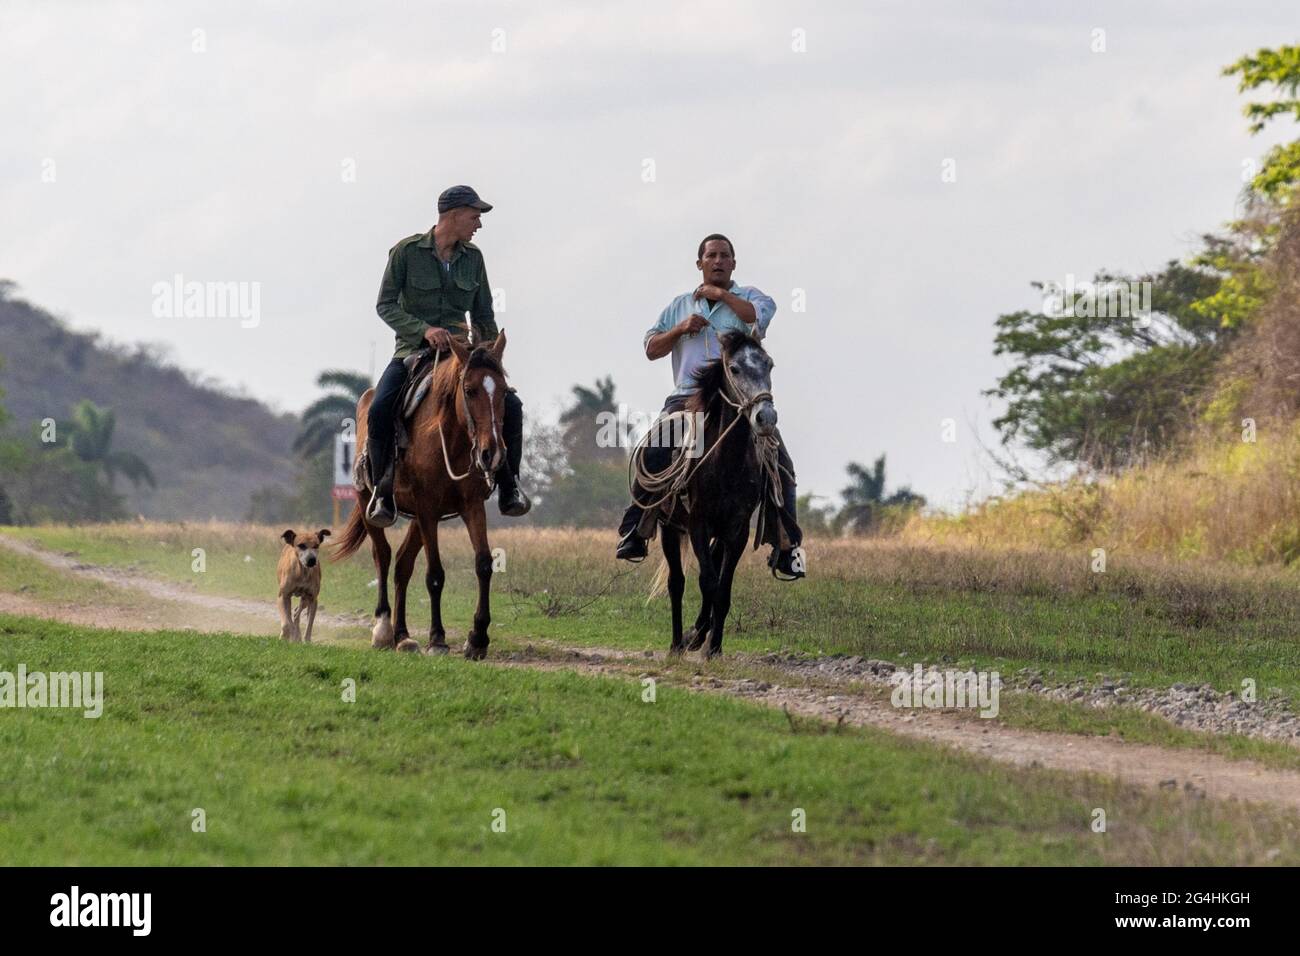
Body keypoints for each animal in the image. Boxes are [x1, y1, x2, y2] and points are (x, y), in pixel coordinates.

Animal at [332, 333, 509, 659]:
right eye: (470, 390)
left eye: (504, 391)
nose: (492, 453)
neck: (448, 438)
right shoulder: (427, 508)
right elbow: (435, 574)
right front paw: (438, 638)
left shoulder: (471, 506)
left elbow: (483, 563)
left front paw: (478, 638)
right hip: (369, 503)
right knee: (383, 556)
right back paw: (383, 629)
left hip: (418, 517)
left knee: (402, 565)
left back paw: (402, 635)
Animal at [648, 330, 783, 658]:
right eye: (734, 369)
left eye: (769, 365)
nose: (766, 417)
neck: (726, 462)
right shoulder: (698, 523)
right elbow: (707, 582)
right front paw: (695, 640)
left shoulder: (737, 531)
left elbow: (722, 589)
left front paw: (713, 647)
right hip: (670, 527)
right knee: (677, 582)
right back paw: (677, 643)